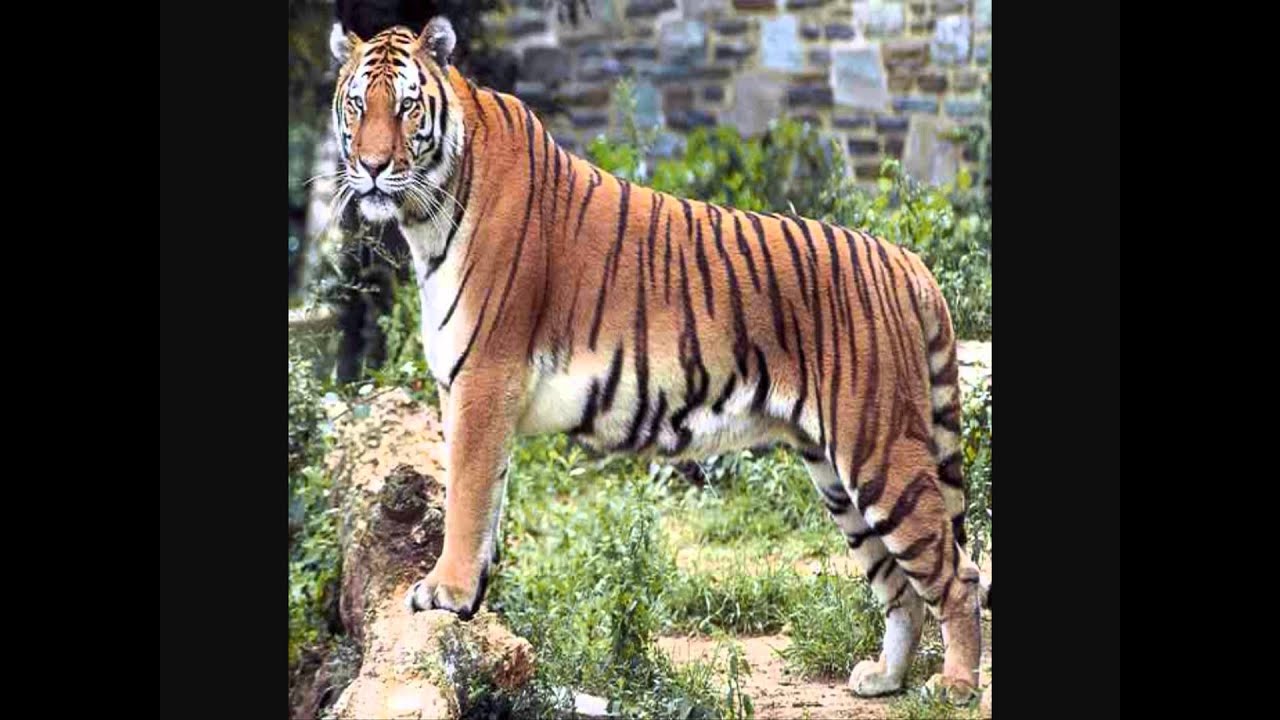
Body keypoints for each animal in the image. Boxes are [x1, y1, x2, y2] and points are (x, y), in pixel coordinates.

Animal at [327, 16, 987, 703]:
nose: (371, 167)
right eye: (358, 105)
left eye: (406, 106)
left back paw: (955, 684)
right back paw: (884, 678)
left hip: (879, 450)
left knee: (959, 573)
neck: (427, 213)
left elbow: (466, 494)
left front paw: (447, 591)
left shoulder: (484, 377)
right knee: (898, 585)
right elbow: (483, 498)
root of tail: (904, 259)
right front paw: (472, 594)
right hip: (836, 476)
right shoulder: (466, 388)